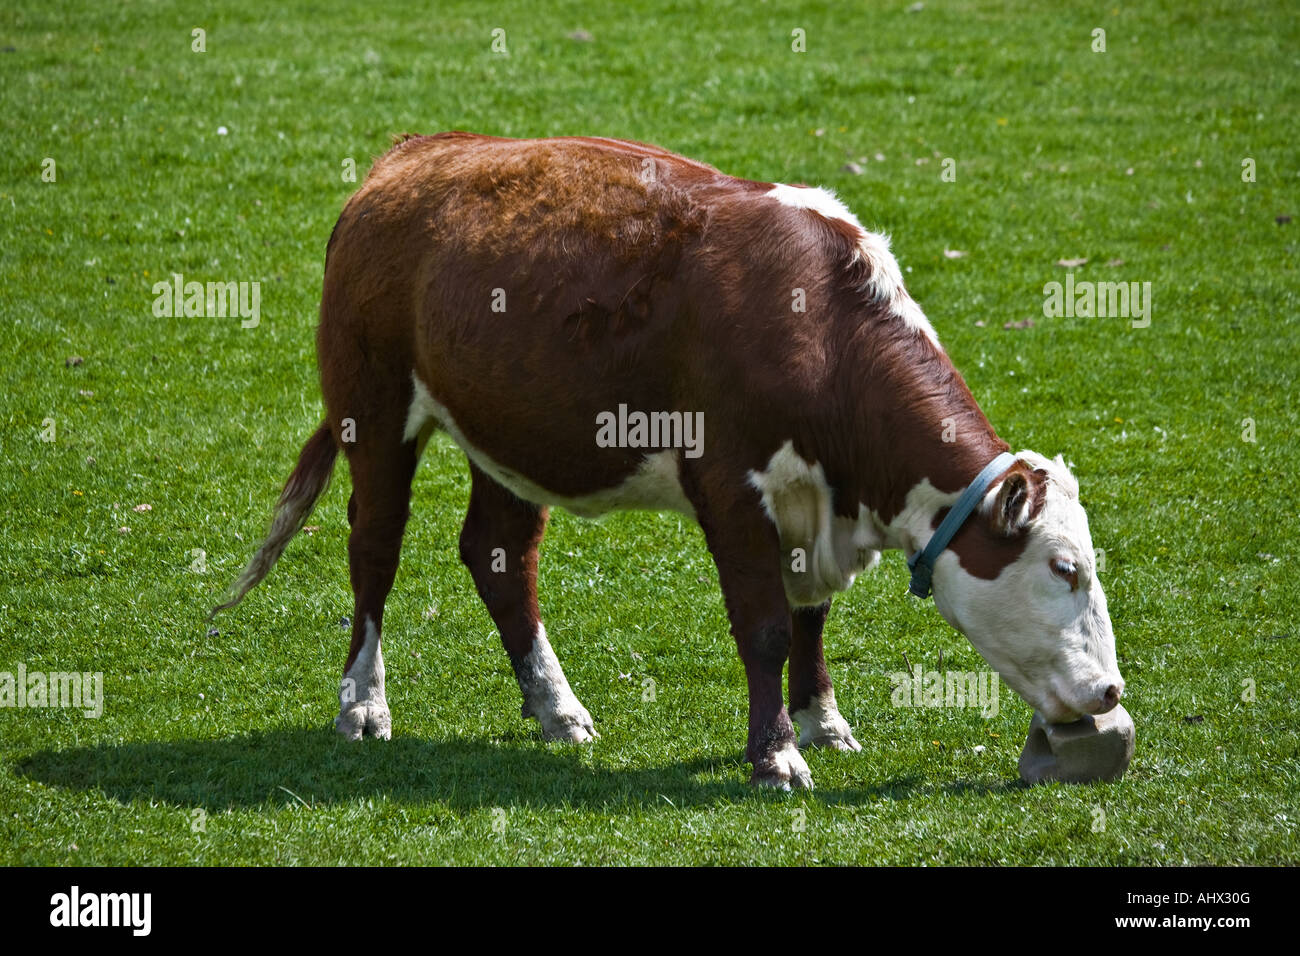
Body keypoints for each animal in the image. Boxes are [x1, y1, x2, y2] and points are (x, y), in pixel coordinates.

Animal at [212, 132, 1125, 790]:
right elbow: (765, 627)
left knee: (500, 556)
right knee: (375, 550)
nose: (1110, 693)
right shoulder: (732, 487)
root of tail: (408, 156)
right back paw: (363, 703)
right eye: (1066, 569)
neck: (822, 330)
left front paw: (823, 721)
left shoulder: (809, 508)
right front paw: (776, 755)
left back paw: (556, 706)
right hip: (372, 410)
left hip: (509, 436)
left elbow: (809, 617)